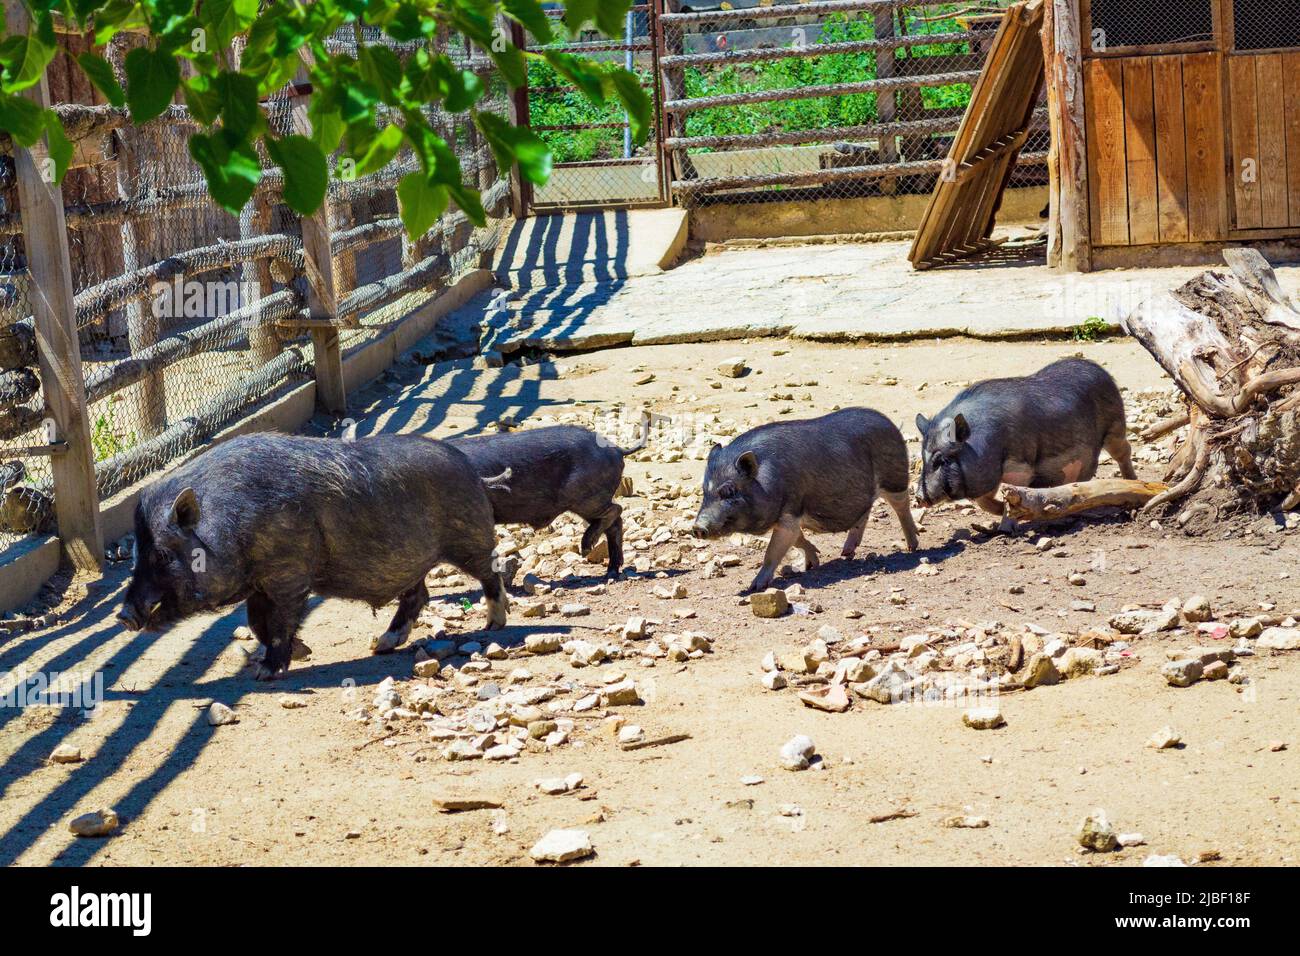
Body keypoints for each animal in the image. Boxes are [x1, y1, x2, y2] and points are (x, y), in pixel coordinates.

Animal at [116, 433, 507, 679]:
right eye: (135, 555)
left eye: (163, 555)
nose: (123, 615)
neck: (232, 528)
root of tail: (474, 472)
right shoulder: (260, 584)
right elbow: (256, 621)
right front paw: (301, 652)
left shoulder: (288, 573)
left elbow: (280, 621)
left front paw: (266, 672)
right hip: (415, 561)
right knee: (418, 594)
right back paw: (381, 646)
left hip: (470, 535)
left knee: (492, 571)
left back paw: (494, 625)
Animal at [448, 415, 648, 580]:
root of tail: (617, 450)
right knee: (615, 523)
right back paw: (611, 572)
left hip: (586, 497)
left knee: (616, 510)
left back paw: (586, 549)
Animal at [691, 408, 919, 593]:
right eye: (705, 491)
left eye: (729, 491)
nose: (697, 527)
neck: (768, 479)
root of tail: (891, 424)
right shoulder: (789, 516)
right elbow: (798, 538)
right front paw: (812, 564)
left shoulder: (790, 511)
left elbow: (773, 551)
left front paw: (754, 587)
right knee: (864, 512)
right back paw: (846, 552)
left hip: (895, 477)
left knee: (902, 506)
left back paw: (912, 547)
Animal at [915, 357, 1136, 518]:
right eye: (923, 459)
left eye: (941, 461)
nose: (918, 497)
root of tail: (1100, 370)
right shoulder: (989, 476)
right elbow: (984, 502)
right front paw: (999, 512)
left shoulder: (1019, 466)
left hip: (1115, 426)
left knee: (1124, 451)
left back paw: (1132, 481)